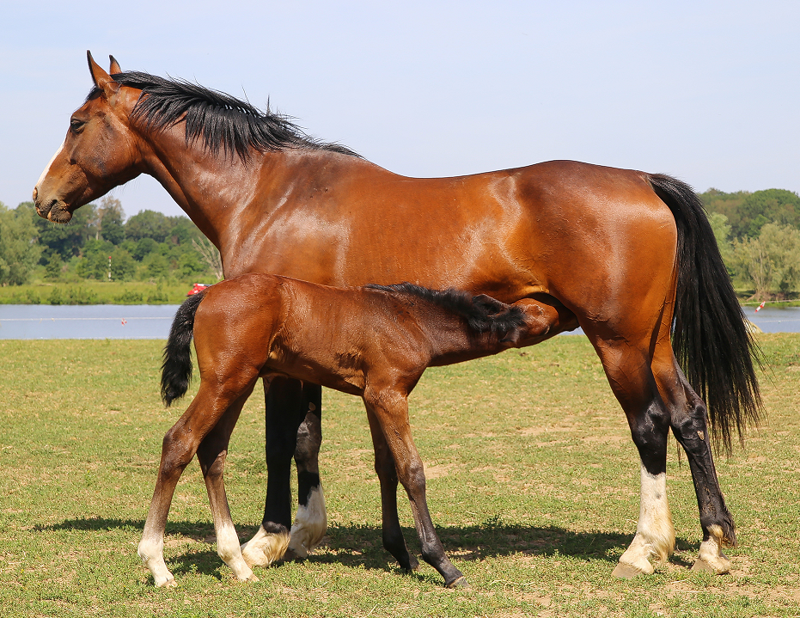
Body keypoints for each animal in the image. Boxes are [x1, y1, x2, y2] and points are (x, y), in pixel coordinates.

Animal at [143, 274, 545, 587]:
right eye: (533, 312)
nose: (547, 307)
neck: (409, 319)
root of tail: (205, 294)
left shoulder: (375, 396)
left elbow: (386, 467)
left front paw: (402, 554)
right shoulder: (389, 395)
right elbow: (411, 470)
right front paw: (443, 564)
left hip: (238, 383)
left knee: (212, 451)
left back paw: (237, 563)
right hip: (224, 382)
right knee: (180, 441)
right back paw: (157, 565)